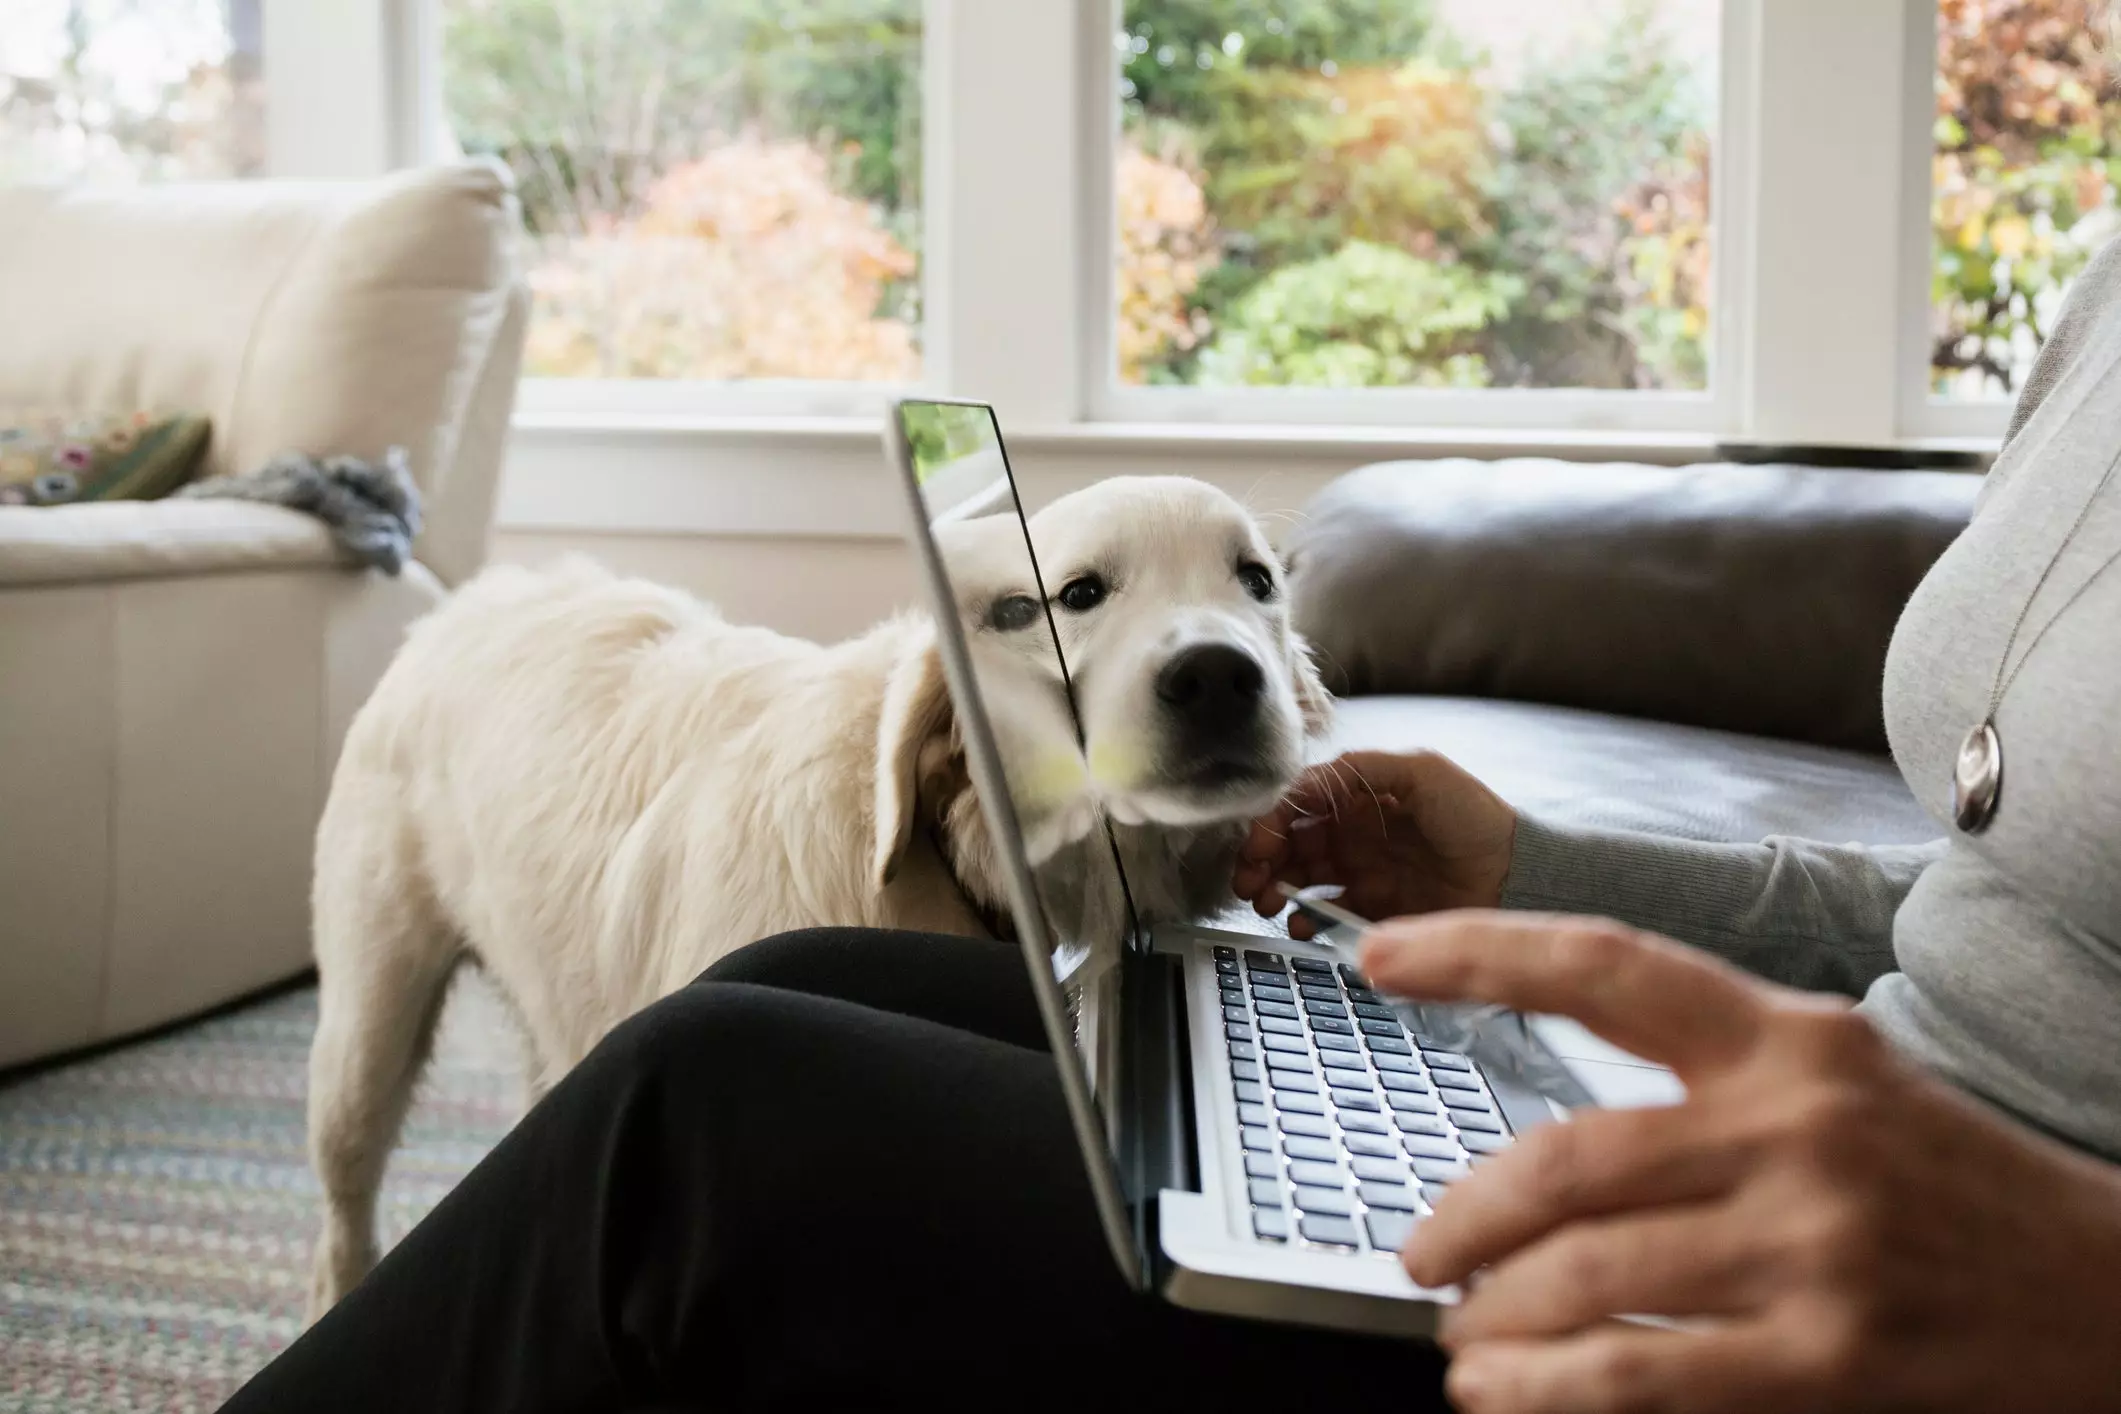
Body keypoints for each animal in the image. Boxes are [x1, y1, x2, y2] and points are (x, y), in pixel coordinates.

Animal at [303, 474, 1323, 1314]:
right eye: (1075, 596)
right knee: (345, 1208)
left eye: (1256, 581)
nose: (1218, 677)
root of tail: (471, 598)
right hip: (369, 1027)